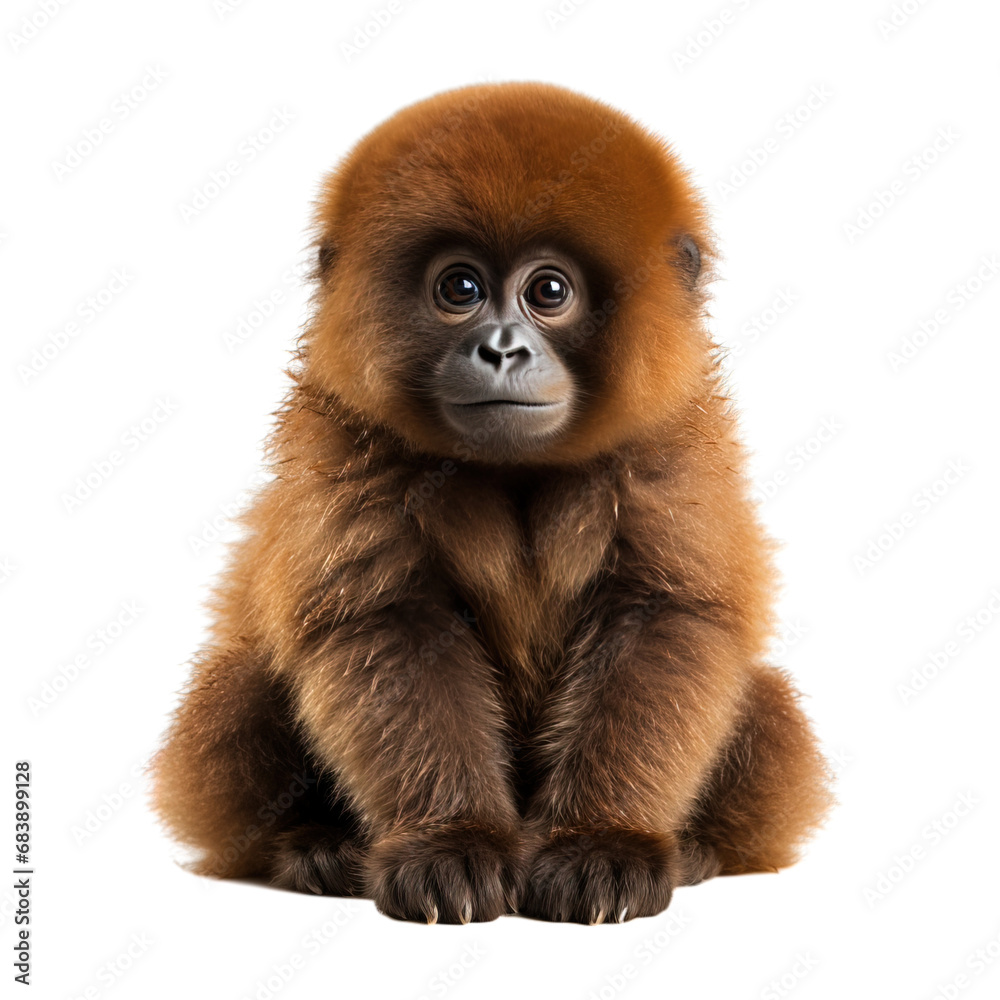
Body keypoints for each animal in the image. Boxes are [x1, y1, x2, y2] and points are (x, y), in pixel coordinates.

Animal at [151, 82, 833, 924]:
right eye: (461, 289)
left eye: (549, 291)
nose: (503, 348)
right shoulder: (345, 450)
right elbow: (388, 626)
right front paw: (449, 845)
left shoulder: (668, 452)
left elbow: (663, 622)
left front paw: (602, 844)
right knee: (244, 681)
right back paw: (316, 847)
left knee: (763, 698)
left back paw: (699, 849)